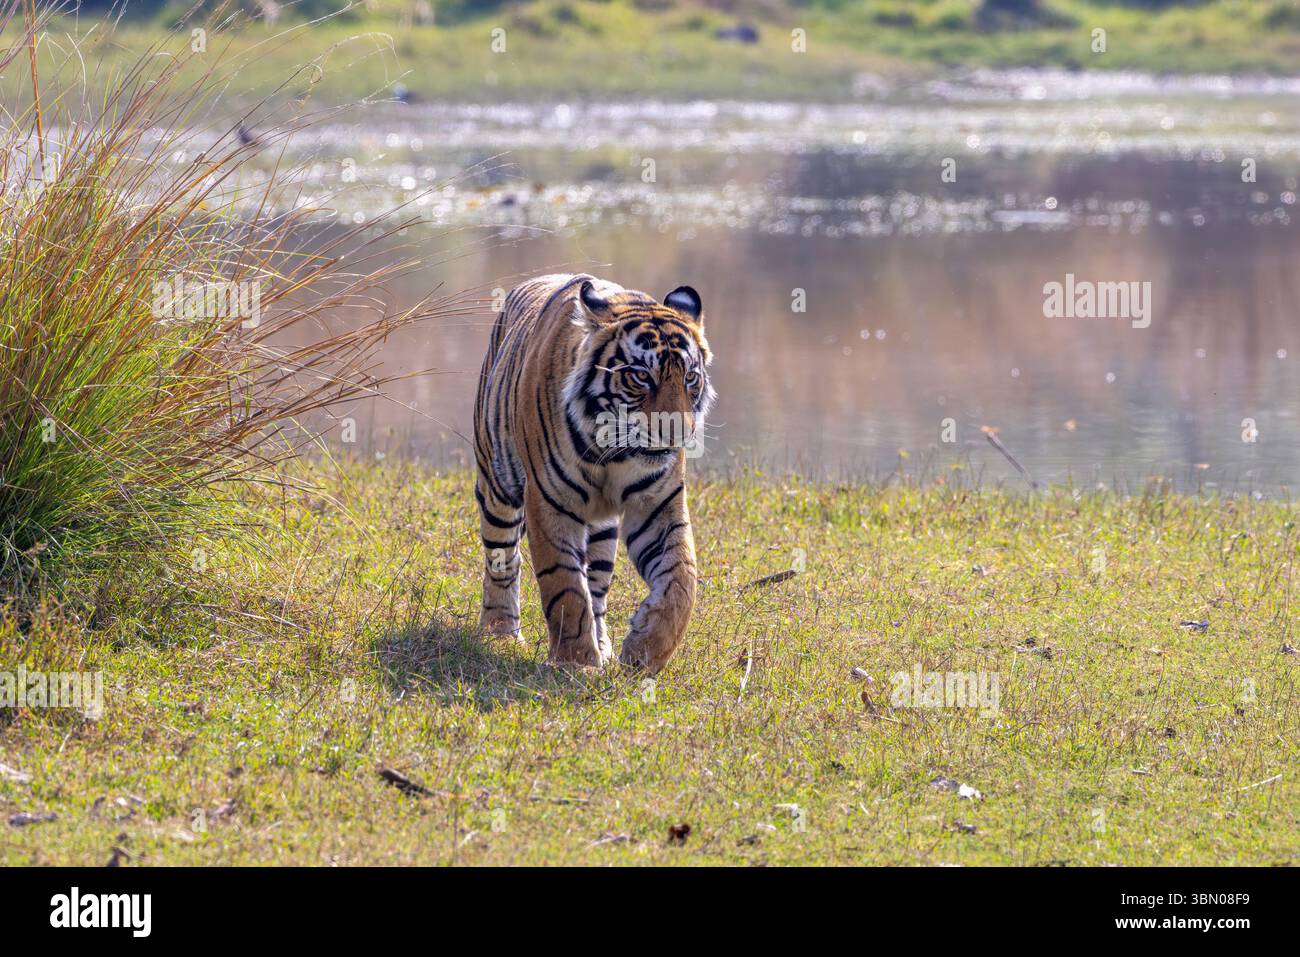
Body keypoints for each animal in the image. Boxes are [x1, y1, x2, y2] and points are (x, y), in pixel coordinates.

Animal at [473, 273, 714, 674]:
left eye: (691, 377)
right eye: (640, 376)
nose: (676, 433)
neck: (612, 451)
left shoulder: (658, 505)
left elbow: (682, 579)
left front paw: (646, 650)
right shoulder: (550, 502)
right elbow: (565, 586)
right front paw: (576, 662)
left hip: (602, 529)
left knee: (598, 584)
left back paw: (603, 643)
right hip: (498, 484)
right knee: (503, 559)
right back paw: (499, 632)